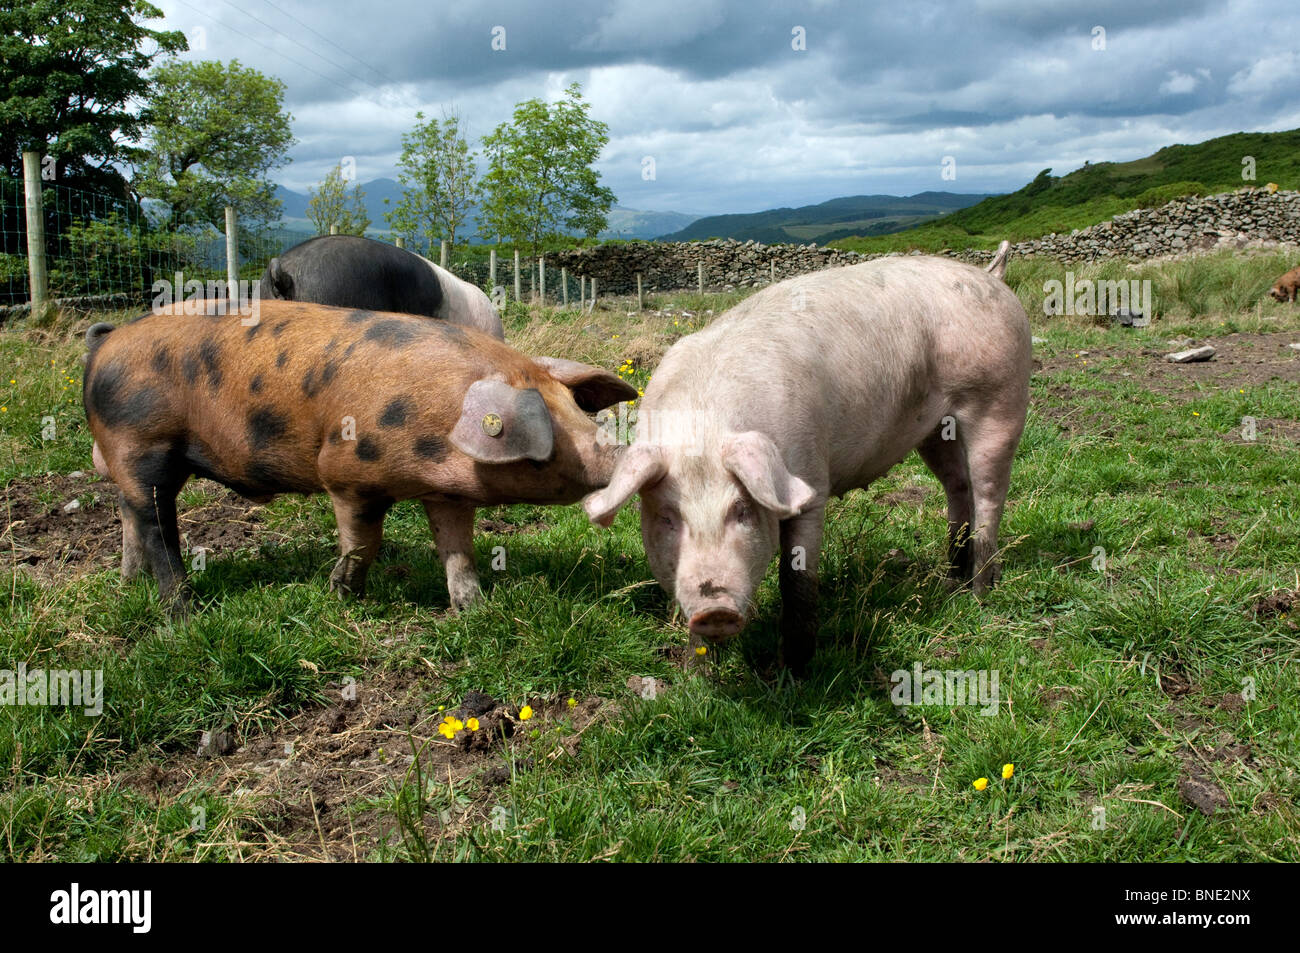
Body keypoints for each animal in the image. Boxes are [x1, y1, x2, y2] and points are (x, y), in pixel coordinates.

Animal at [83, 299, 636, 611]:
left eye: (574, 408)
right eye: (546, 436)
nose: (618, 449)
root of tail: (107, 342)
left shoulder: (447, 492)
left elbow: (458, 551)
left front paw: (474, 610)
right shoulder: (347, 475)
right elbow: (362, 543)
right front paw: (341, 597)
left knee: (130, 512)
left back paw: (128, 583)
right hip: (140, 442)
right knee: (156, 522)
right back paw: (180, 611)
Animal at [584, 254, 1031, 672]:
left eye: (742, 509)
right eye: (667, 518)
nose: (715, 610)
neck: (704, 428)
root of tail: (991, 276)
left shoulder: (811, 482)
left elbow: (795, 577)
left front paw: (793, 673)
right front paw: (696, 672)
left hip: (1000, 398)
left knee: (990, 494)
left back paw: (979, 593)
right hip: (938, 430)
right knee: (958, 486)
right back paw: (951, 579)